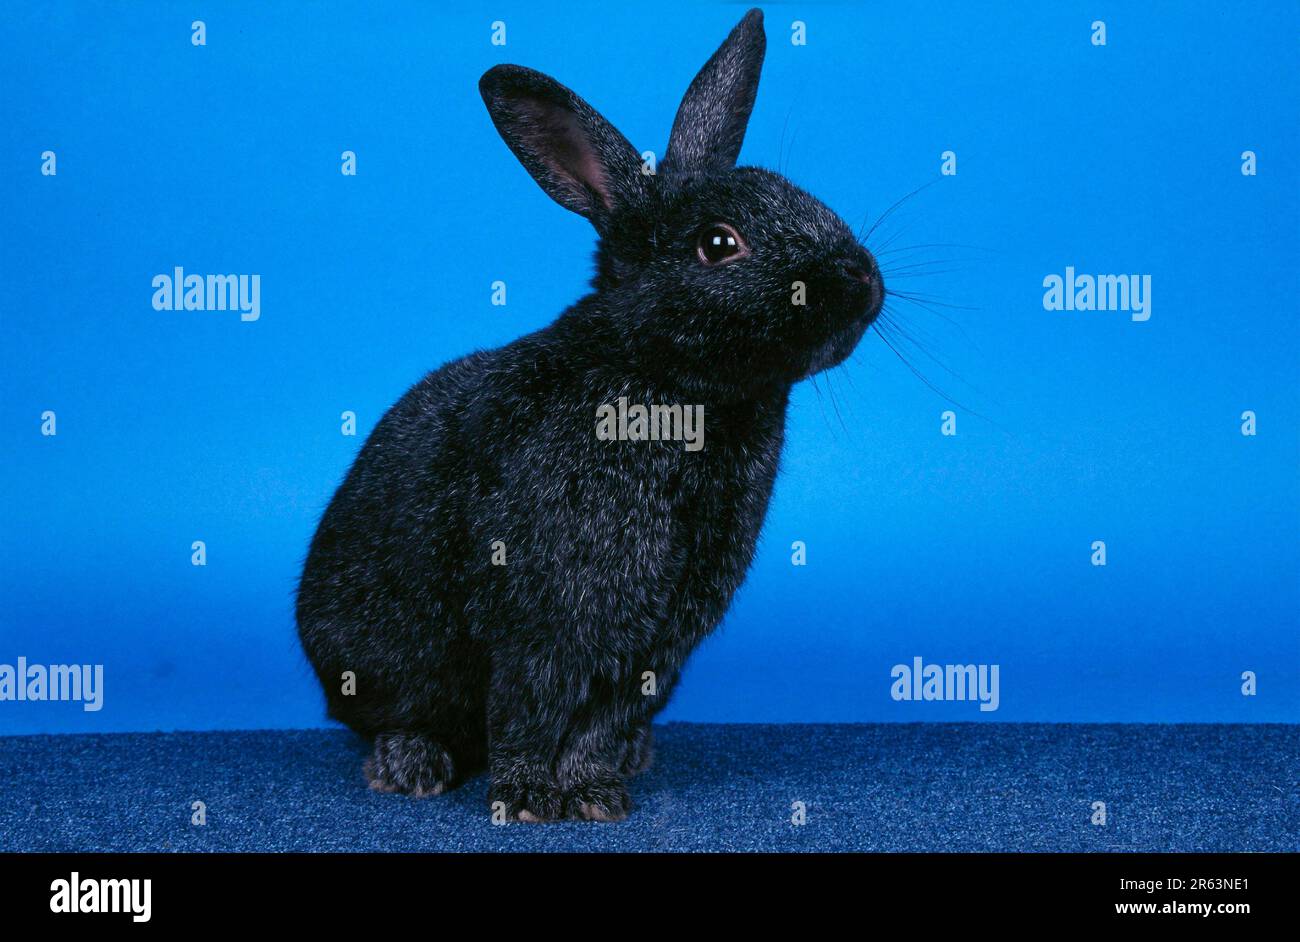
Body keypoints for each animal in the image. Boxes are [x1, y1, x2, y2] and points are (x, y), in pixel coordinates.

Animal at [296, 7, 884, 822]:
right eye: (718, 244)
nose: (863, 281)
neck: (667, 385)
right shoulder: (541, 620)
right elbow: (527, 708)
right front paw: (529, 801)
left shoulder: (657, 645)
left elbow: (604, 720)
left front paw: (597, 794)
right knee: (391, 717)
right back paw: (411, 764)